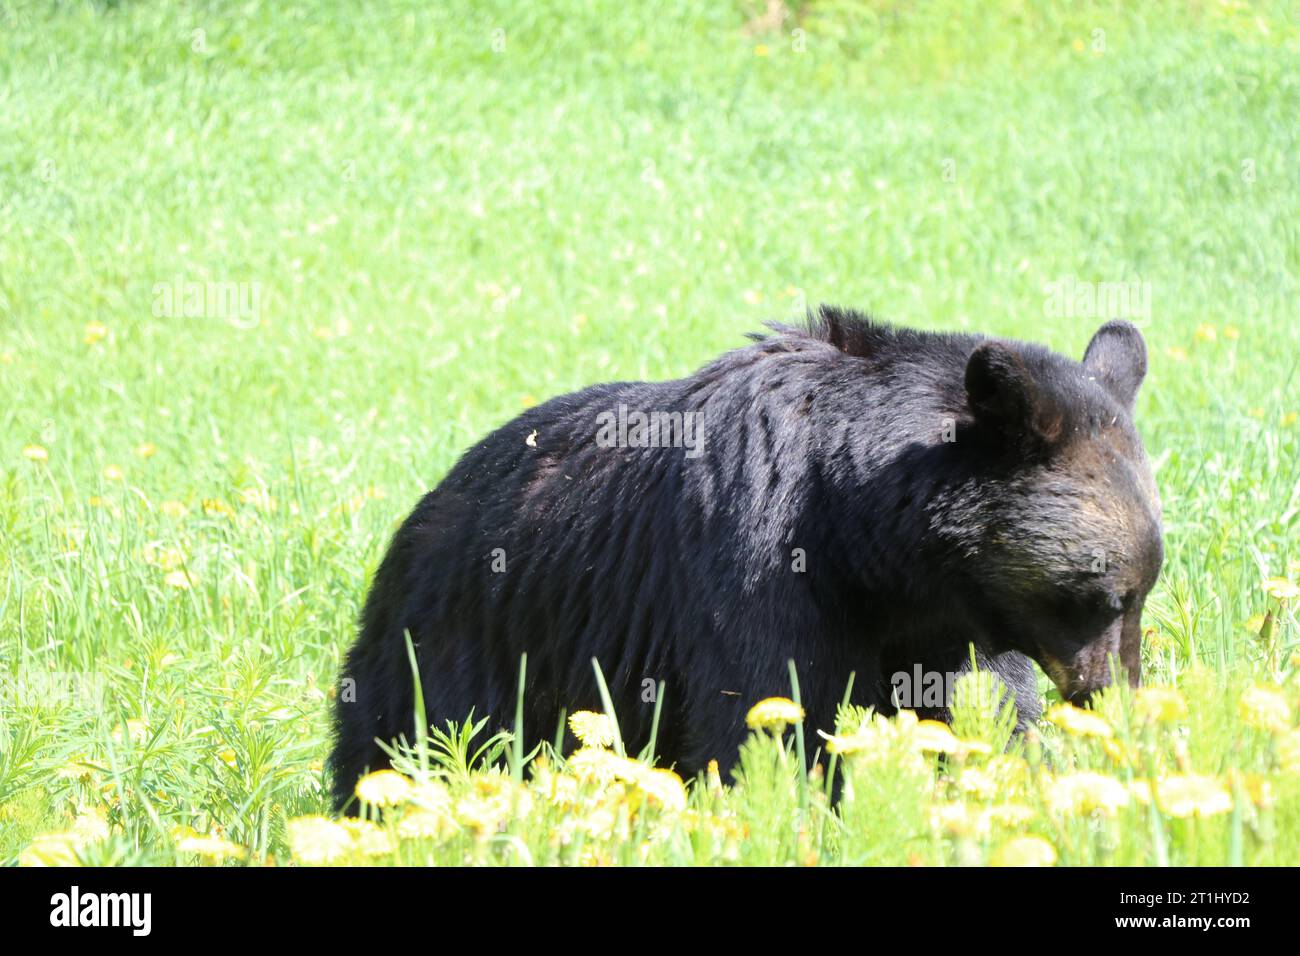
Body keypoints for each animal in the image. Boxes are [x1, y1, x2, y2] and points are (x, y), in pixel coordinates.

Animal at [329, 307, 1163, 810]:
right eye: (1105, 593)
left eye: (1144, 590)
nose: (1115, 696)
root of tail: (422, 510)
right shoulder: (761, 556)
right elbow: (764, 712)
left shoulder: (952, 624)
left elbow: (980, 709)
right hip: (461, 639)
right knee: (403, 736)